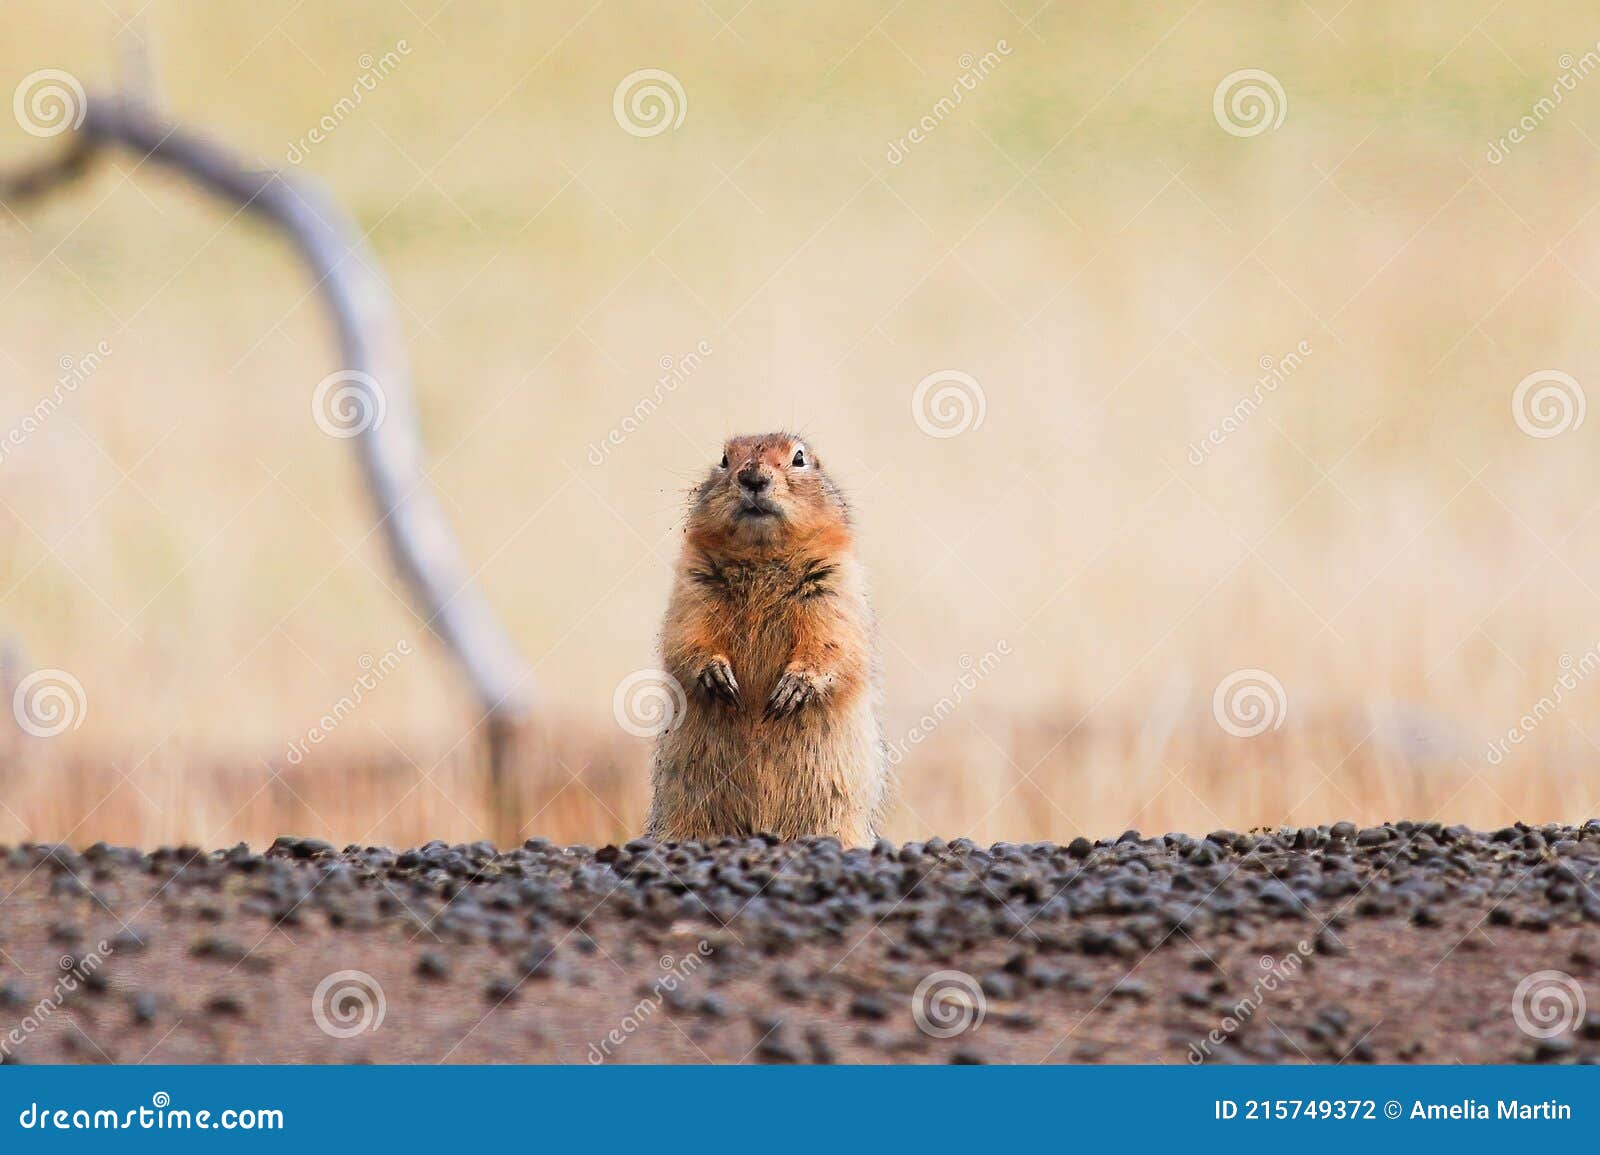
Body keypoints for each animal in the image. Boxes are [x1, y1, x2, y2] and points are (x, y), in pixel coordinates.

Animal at [645, 433, 888, 846]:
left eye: (799, 458)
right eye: (724, 459)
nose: (753, 477)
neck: (762, 556)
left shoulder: (834, 584)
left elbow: (834, 640)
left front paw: (793, 688)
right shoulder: (693, 583)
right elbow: (685, 634)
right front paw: (716, 676)